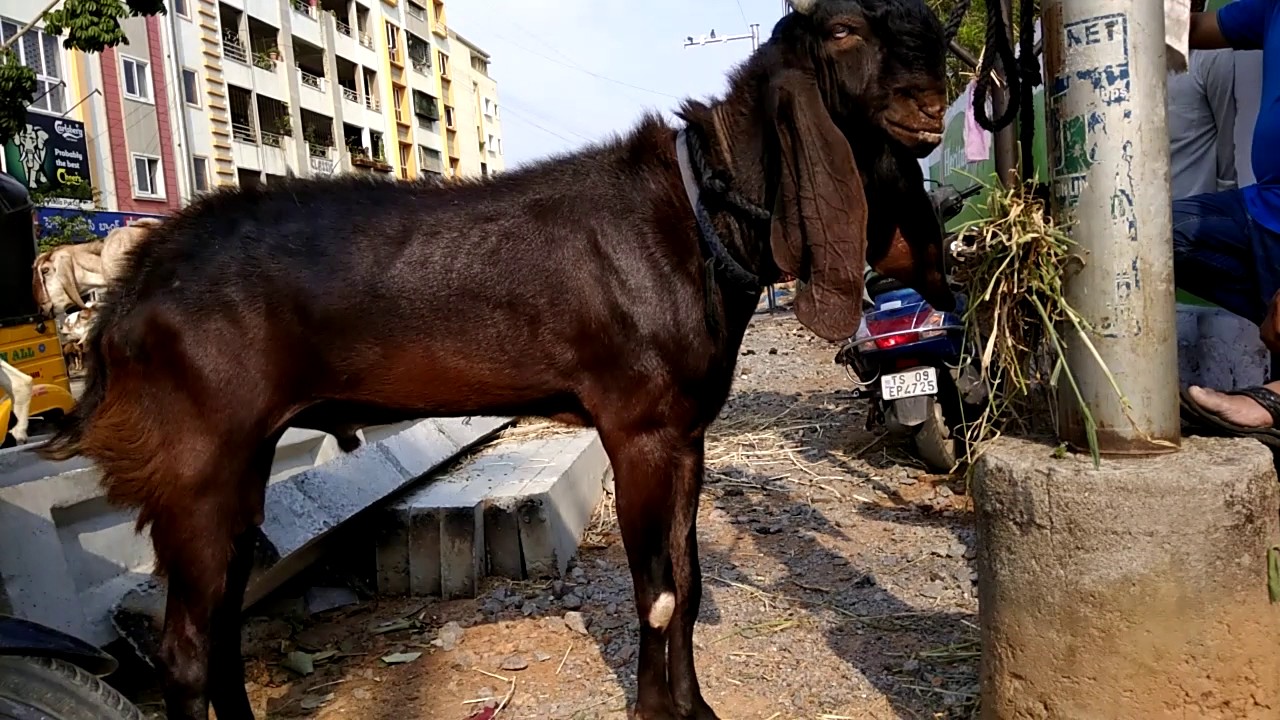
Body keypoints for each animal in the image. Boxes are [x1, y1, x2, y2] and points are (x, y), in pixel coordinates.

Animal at [39, 1, 949, 718]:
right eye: (842, 29)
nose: (933, 100)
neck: (697, 209)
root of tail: (130, 288)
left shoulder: (687, 432)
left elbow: (687, 586)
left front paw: (697, 709)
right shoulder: (638, 426)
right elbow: (656, 593)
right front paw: (659, 711)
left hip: (243, 455)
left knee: (224, 626)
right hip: (194, 456)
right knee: (187, 647)